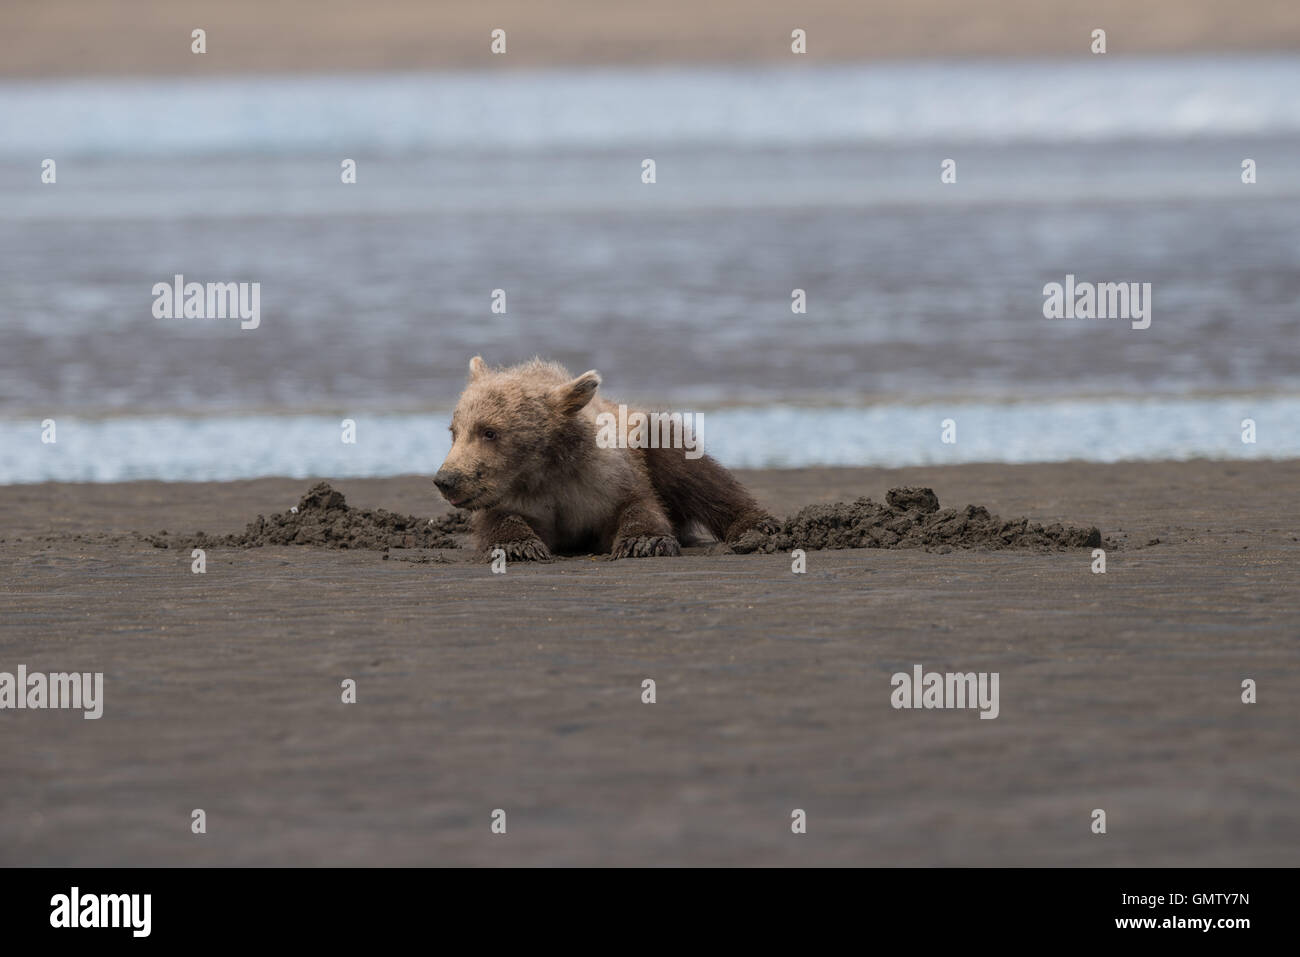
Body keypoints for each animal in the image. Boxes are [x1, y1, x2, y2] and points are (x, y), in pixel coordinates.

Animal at [433, 356, 777, 560]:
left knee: (694, 474)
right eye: (454, 430)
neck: (546, 469)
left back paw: (755, 527)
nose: (446, 480)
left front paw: (644, 542)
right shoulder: (513, 495)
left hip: (649, 434)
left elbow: (637, 504)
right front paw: (517, 545)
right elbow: (499, 519)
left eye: (489, 431)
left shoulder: (605, 477)